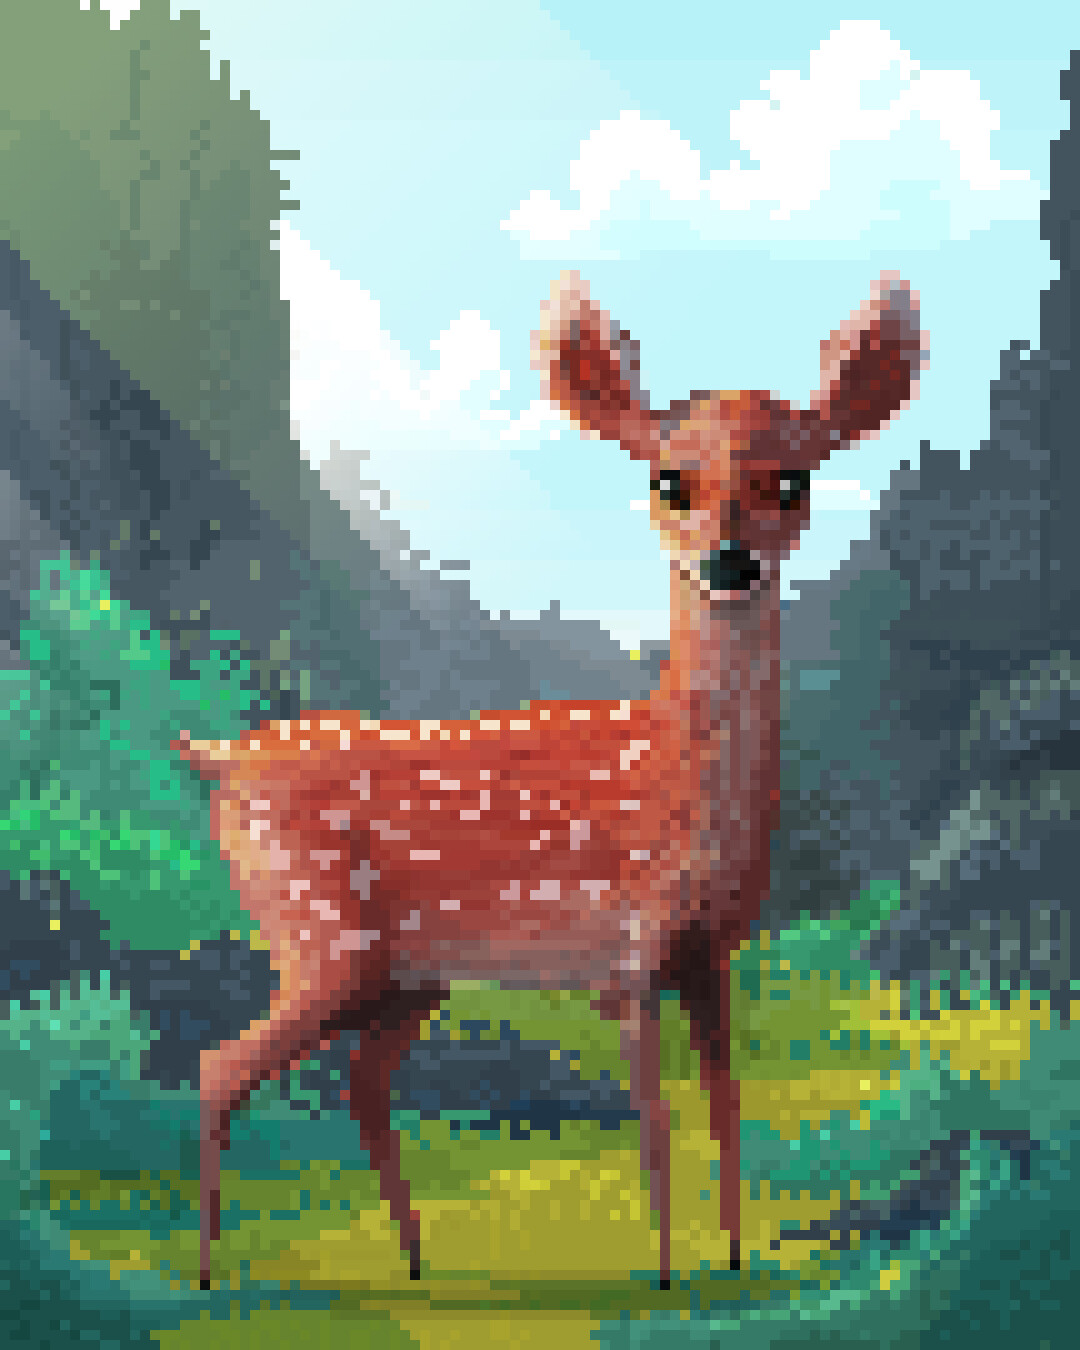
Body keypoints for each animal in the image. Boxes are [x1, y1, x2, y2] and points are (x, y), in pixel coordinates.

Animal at [173, 269, 923, 1290]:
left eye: (792, 479)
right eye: (668, 479)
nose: (728, 562)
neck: (669, 783)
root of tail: (223, 758)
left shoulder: (711, 955)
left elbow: (728, 1107)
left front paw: (732, 1258)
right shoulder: (629, 951)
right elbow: (656, 1122)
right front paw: (664, 1272)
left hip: (403, 976)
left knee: (360, 1081)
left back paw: (416, 1262)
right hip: (317, 932)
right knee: (219, 1065)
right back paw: (211, 1276)